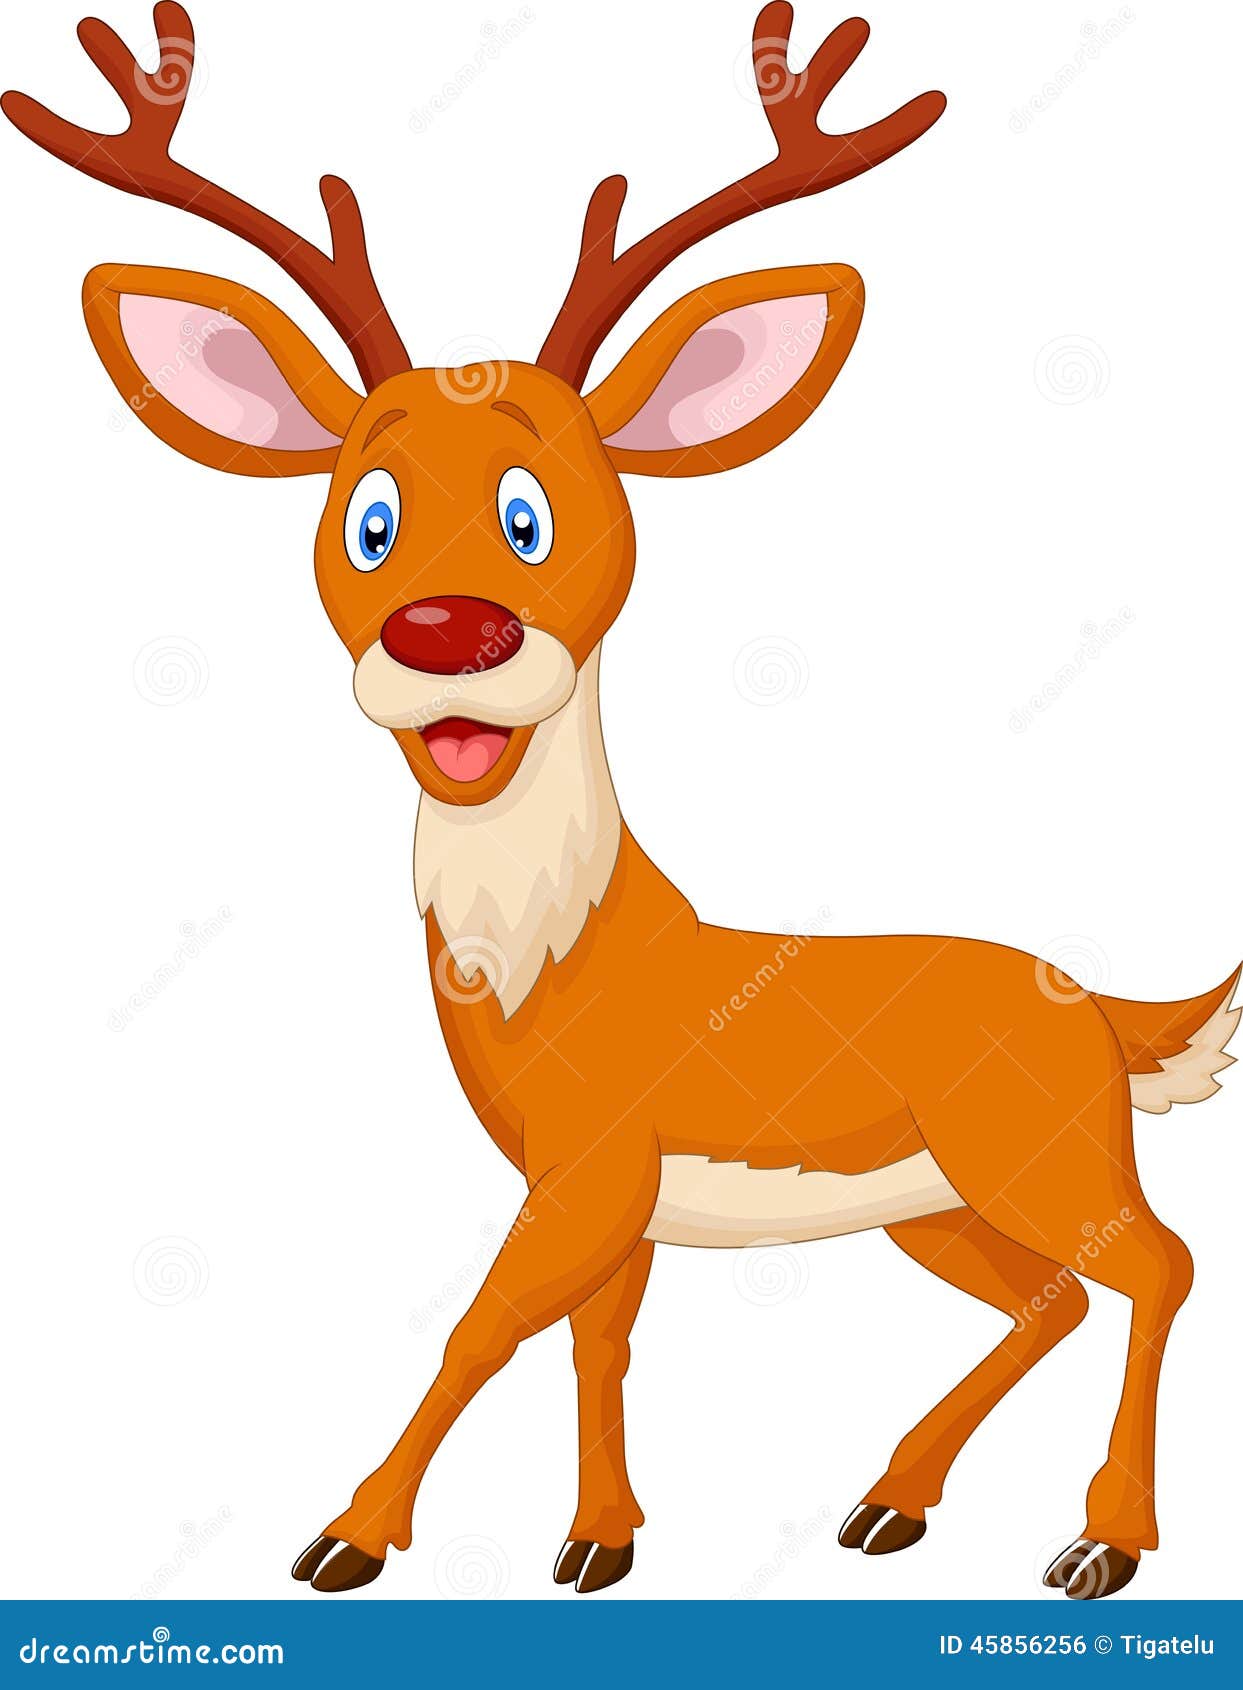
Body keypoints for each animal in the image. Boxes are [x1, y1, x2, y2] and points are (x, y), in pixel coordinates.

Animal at [6, 1, 1238, 1603]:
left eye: (535, 511)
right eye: (368, 516)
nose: (447, 632)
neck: (559, 964)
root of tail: (1096, 1009)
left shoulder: (590, 1168)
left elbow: (480, 1326)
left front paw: (348, 1534)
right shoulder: (618, 1198)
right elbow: (596, 1340)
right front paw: (596, 1538)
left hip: (1034, 1148)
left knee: (1155, 1261)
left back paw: (1099, 1540)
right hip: (933, 1198)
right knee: (1048, 1299)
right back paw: (888, 1501)